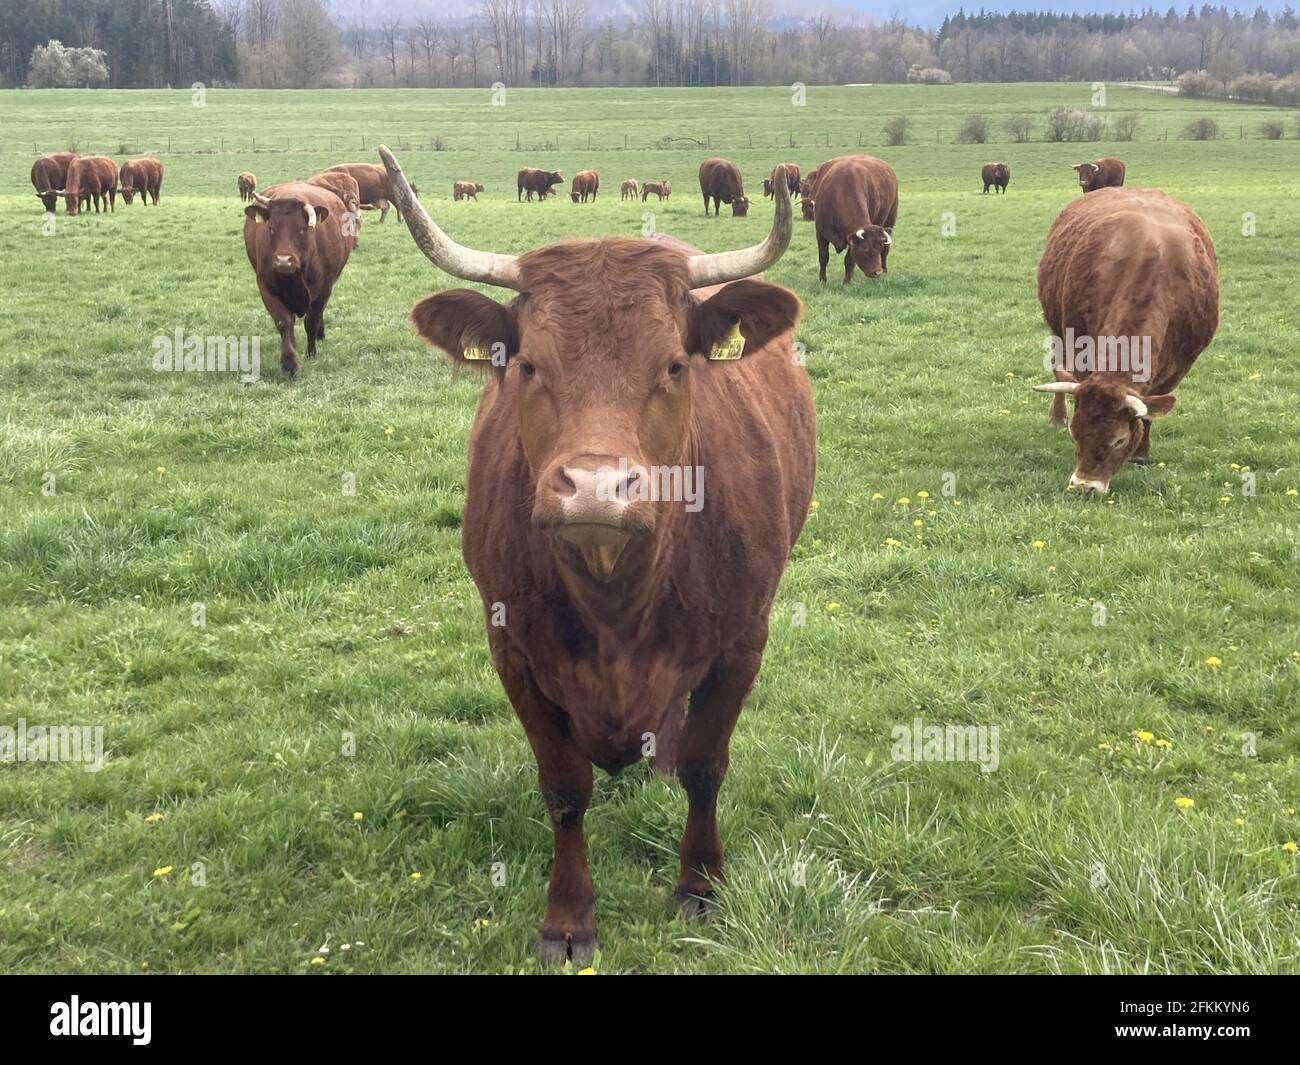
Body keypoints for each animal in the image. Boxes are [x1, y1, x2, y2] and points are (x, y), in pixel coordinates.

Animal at [243, 183, 353, 379]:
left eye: (302, 229)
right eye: (271, 228)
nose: (283, 260)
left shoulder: (324, 288)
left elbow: (311, 321)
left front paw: (311, 353)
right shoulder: (266, 287)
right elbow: (284, 322)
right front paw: (289, 363)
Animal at [378, 146, 814, 966]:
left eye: (675, 365)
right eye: (526, 365)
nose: (596, 489)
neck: (616, 597)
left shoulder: (744, 638)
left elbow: (707, 763)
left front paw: (699, 884)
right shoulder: (513, 648)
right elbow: (564, 787)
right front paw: (568, 917)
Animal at [810, 155, 898, 285]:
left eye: (879, 247)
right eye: (865, 248)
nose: (877, 272)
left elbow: (849, 260)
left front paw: (846, 283)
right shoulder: (820, 232)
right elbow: (823, 257)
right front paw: (823, 280)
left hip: (890, 219)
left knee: (886, 251)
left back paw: (885, 271)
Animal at [1033, 187, 1218, 494]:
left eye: (1118, 440)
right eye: (1075, 431)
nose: (1084, 486)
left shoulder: (1179, 366)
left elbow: (1150, 411)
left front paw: (1141, 454)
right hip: (1058, 328)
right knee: (1059, 368)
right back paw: (1057, 415)